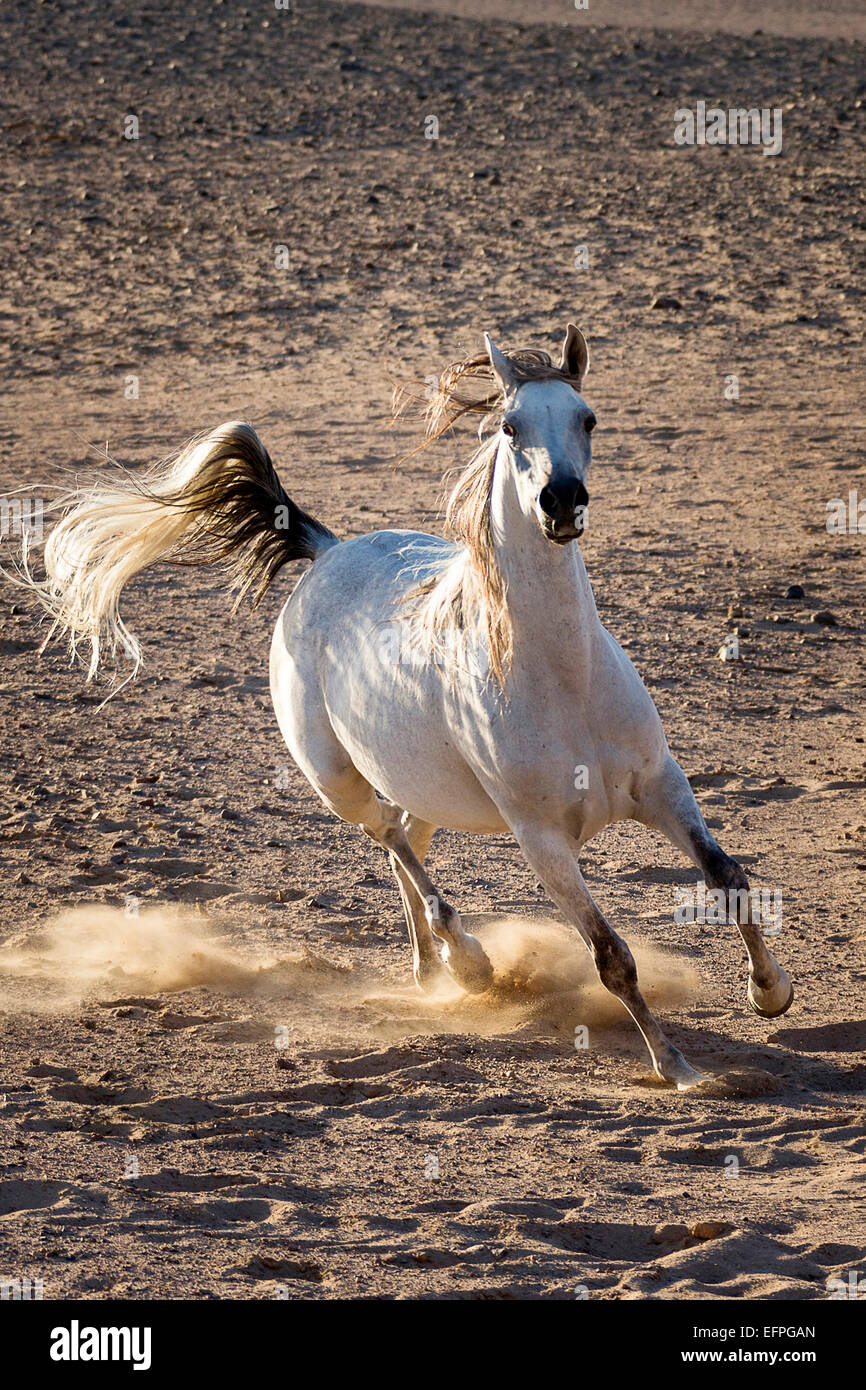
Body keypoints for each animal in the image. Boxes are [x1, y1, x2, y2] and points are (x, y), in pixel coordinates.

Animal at [11, 323, 793, 1089]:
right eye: (509, 426)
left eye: (588, 418)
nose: (562, 501)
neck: (562, 678)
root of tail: (326, 552)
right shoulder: (541, 841)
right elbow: (611, 956)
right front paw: (676, 1066)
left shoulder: (662, 785)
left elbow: (730, 878)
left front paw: (771, 993)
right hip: (338, 782)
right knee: (390, 839)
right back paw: (466, 960)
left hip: (425, 785)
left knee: (407, 846)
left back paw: (431, 969)